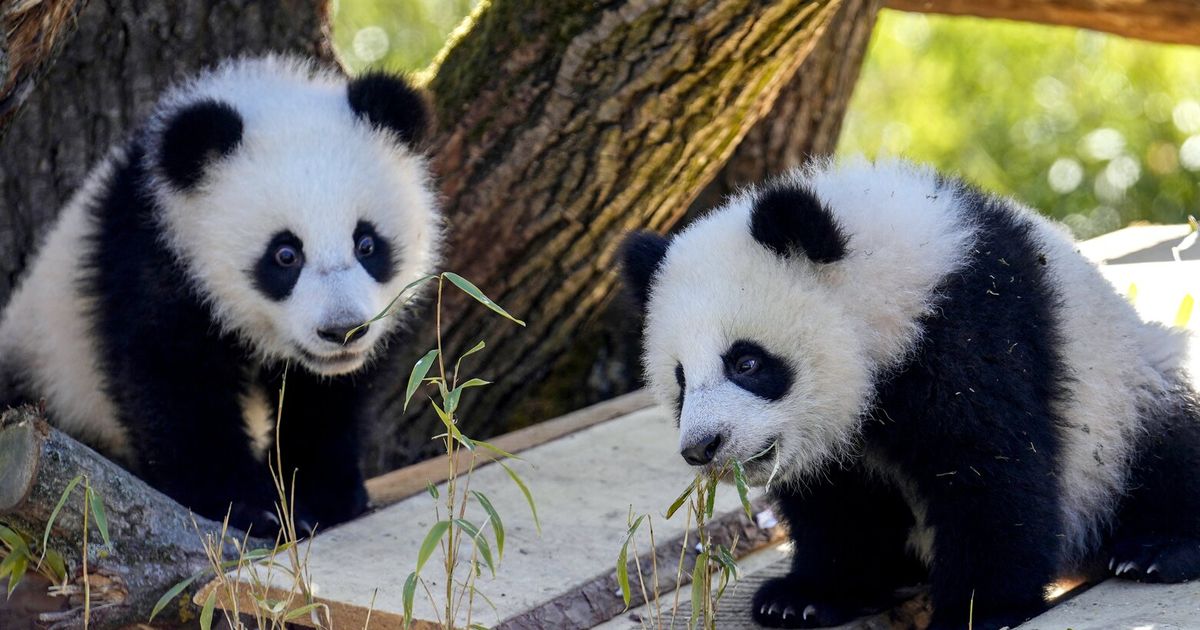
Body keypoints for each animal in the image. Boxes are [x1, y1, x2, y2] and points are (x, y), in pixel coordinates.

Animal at [0, 56, 441, 535]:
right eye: (285, 254)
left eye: (367, 244)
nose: (342, 330)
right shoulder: (152, 259)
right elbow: (176, 383)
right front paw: (250, 509)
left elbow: (326, 402)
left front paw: (321, 496)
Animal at [620, 159, 1200, 630]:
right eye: (680, 380)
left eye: (746, 362)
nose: (702, 447)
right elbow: (837, 503)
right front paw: (803, 598)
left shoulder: (971, 327)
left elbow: (990, 469)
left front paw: (980, 610)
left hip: (1127, 395)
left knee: (1168, 452)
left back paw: (1156, 549)